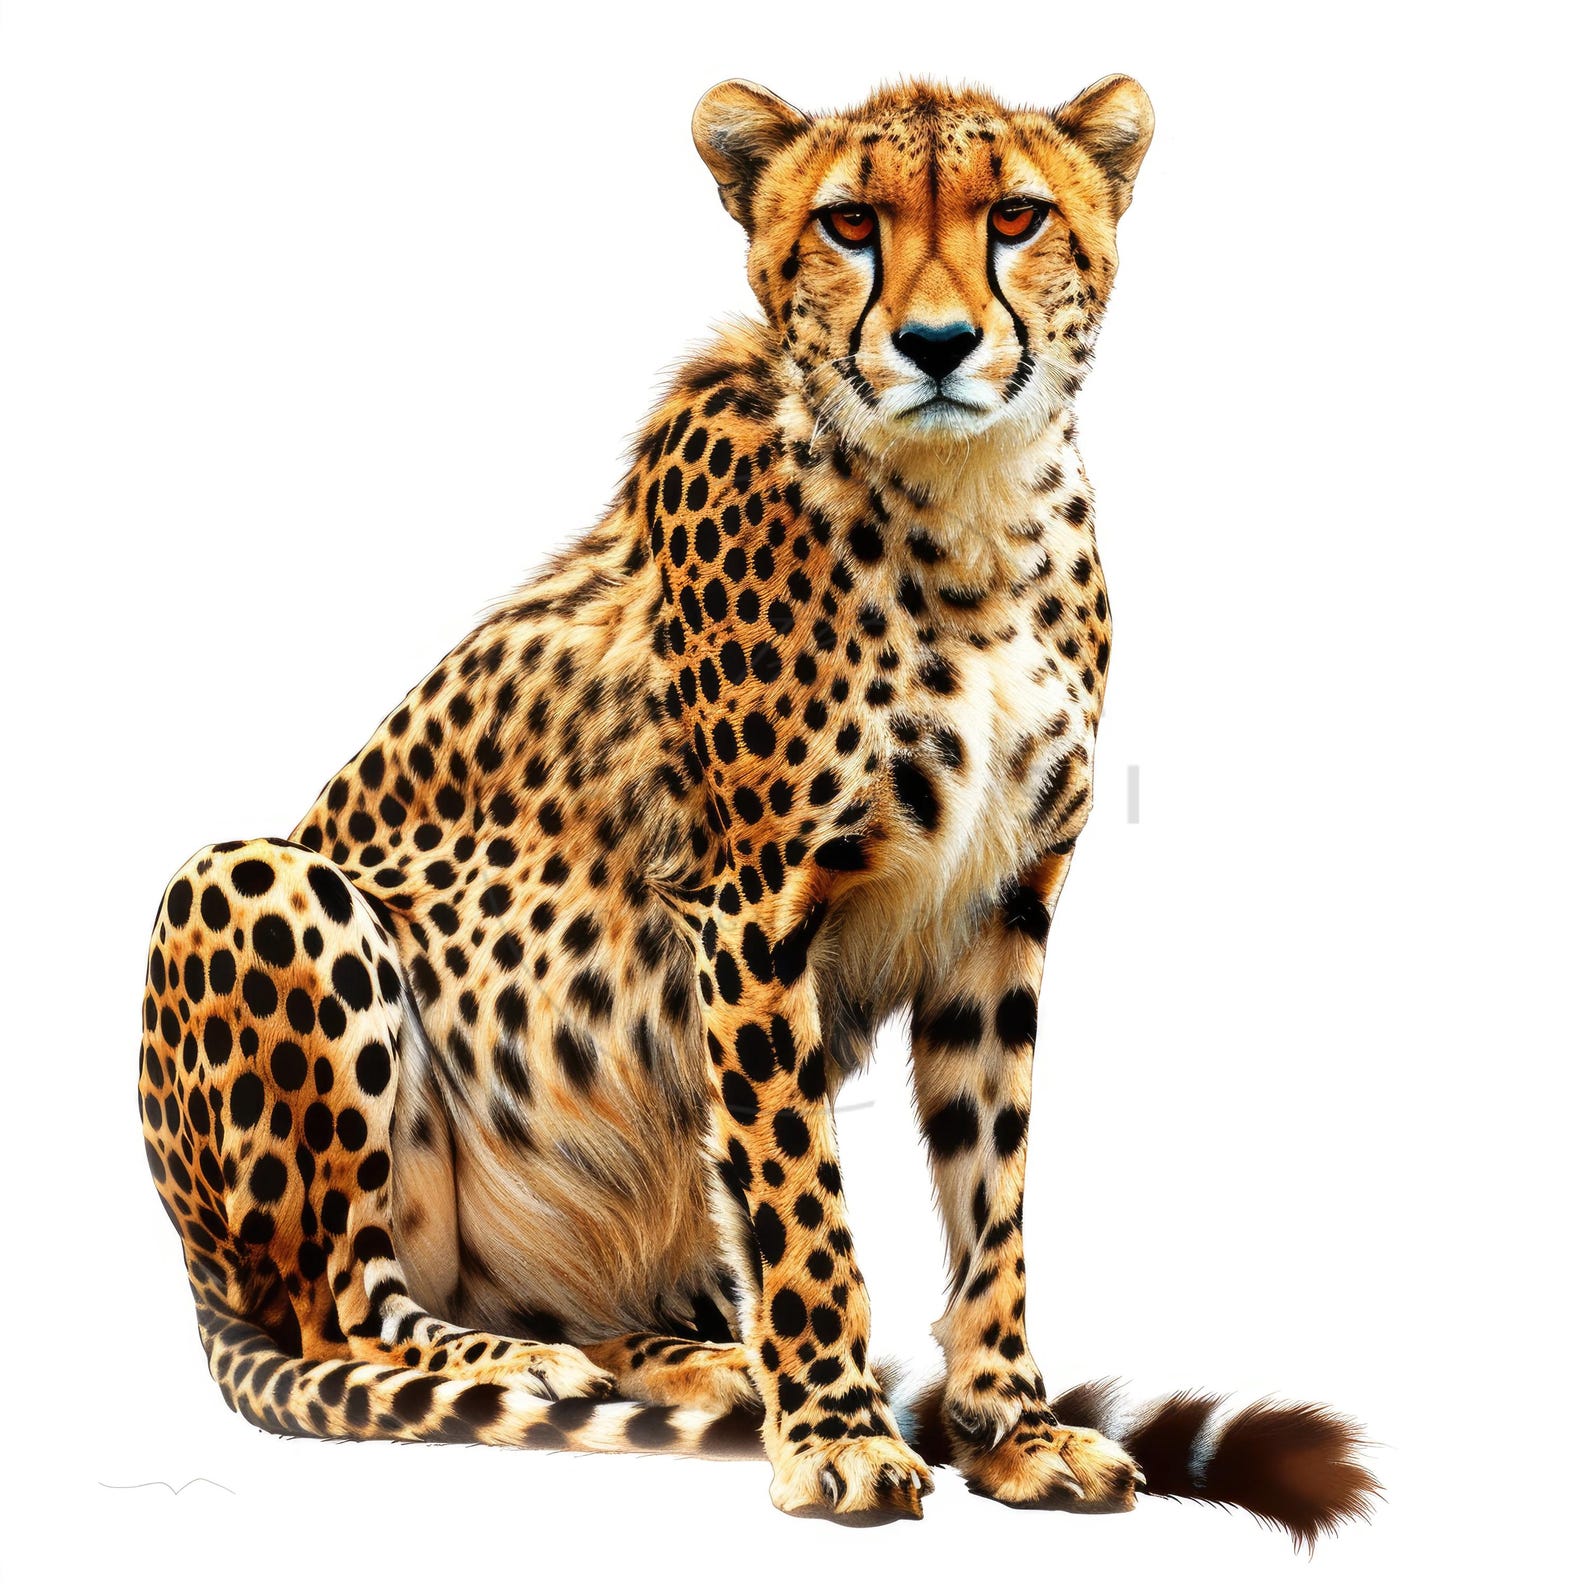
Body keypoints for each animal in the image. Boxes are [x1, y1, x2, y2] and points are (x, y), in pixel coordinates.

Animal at [136, 75, 1377, 1542]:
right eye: (848, 223)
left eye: (1017, 216)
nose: (939, 343)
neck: (971, 512)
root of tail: (200, 1280)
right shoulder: (749, 913)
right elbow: (795, 1197)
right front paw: (838, 1437)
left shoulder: (1000, 911)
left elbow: (992, 1189)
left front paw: (1010, 1427)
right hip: (254, 885)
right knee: (341, 1310)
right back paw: (519, 1364)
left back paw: (695, 1361)